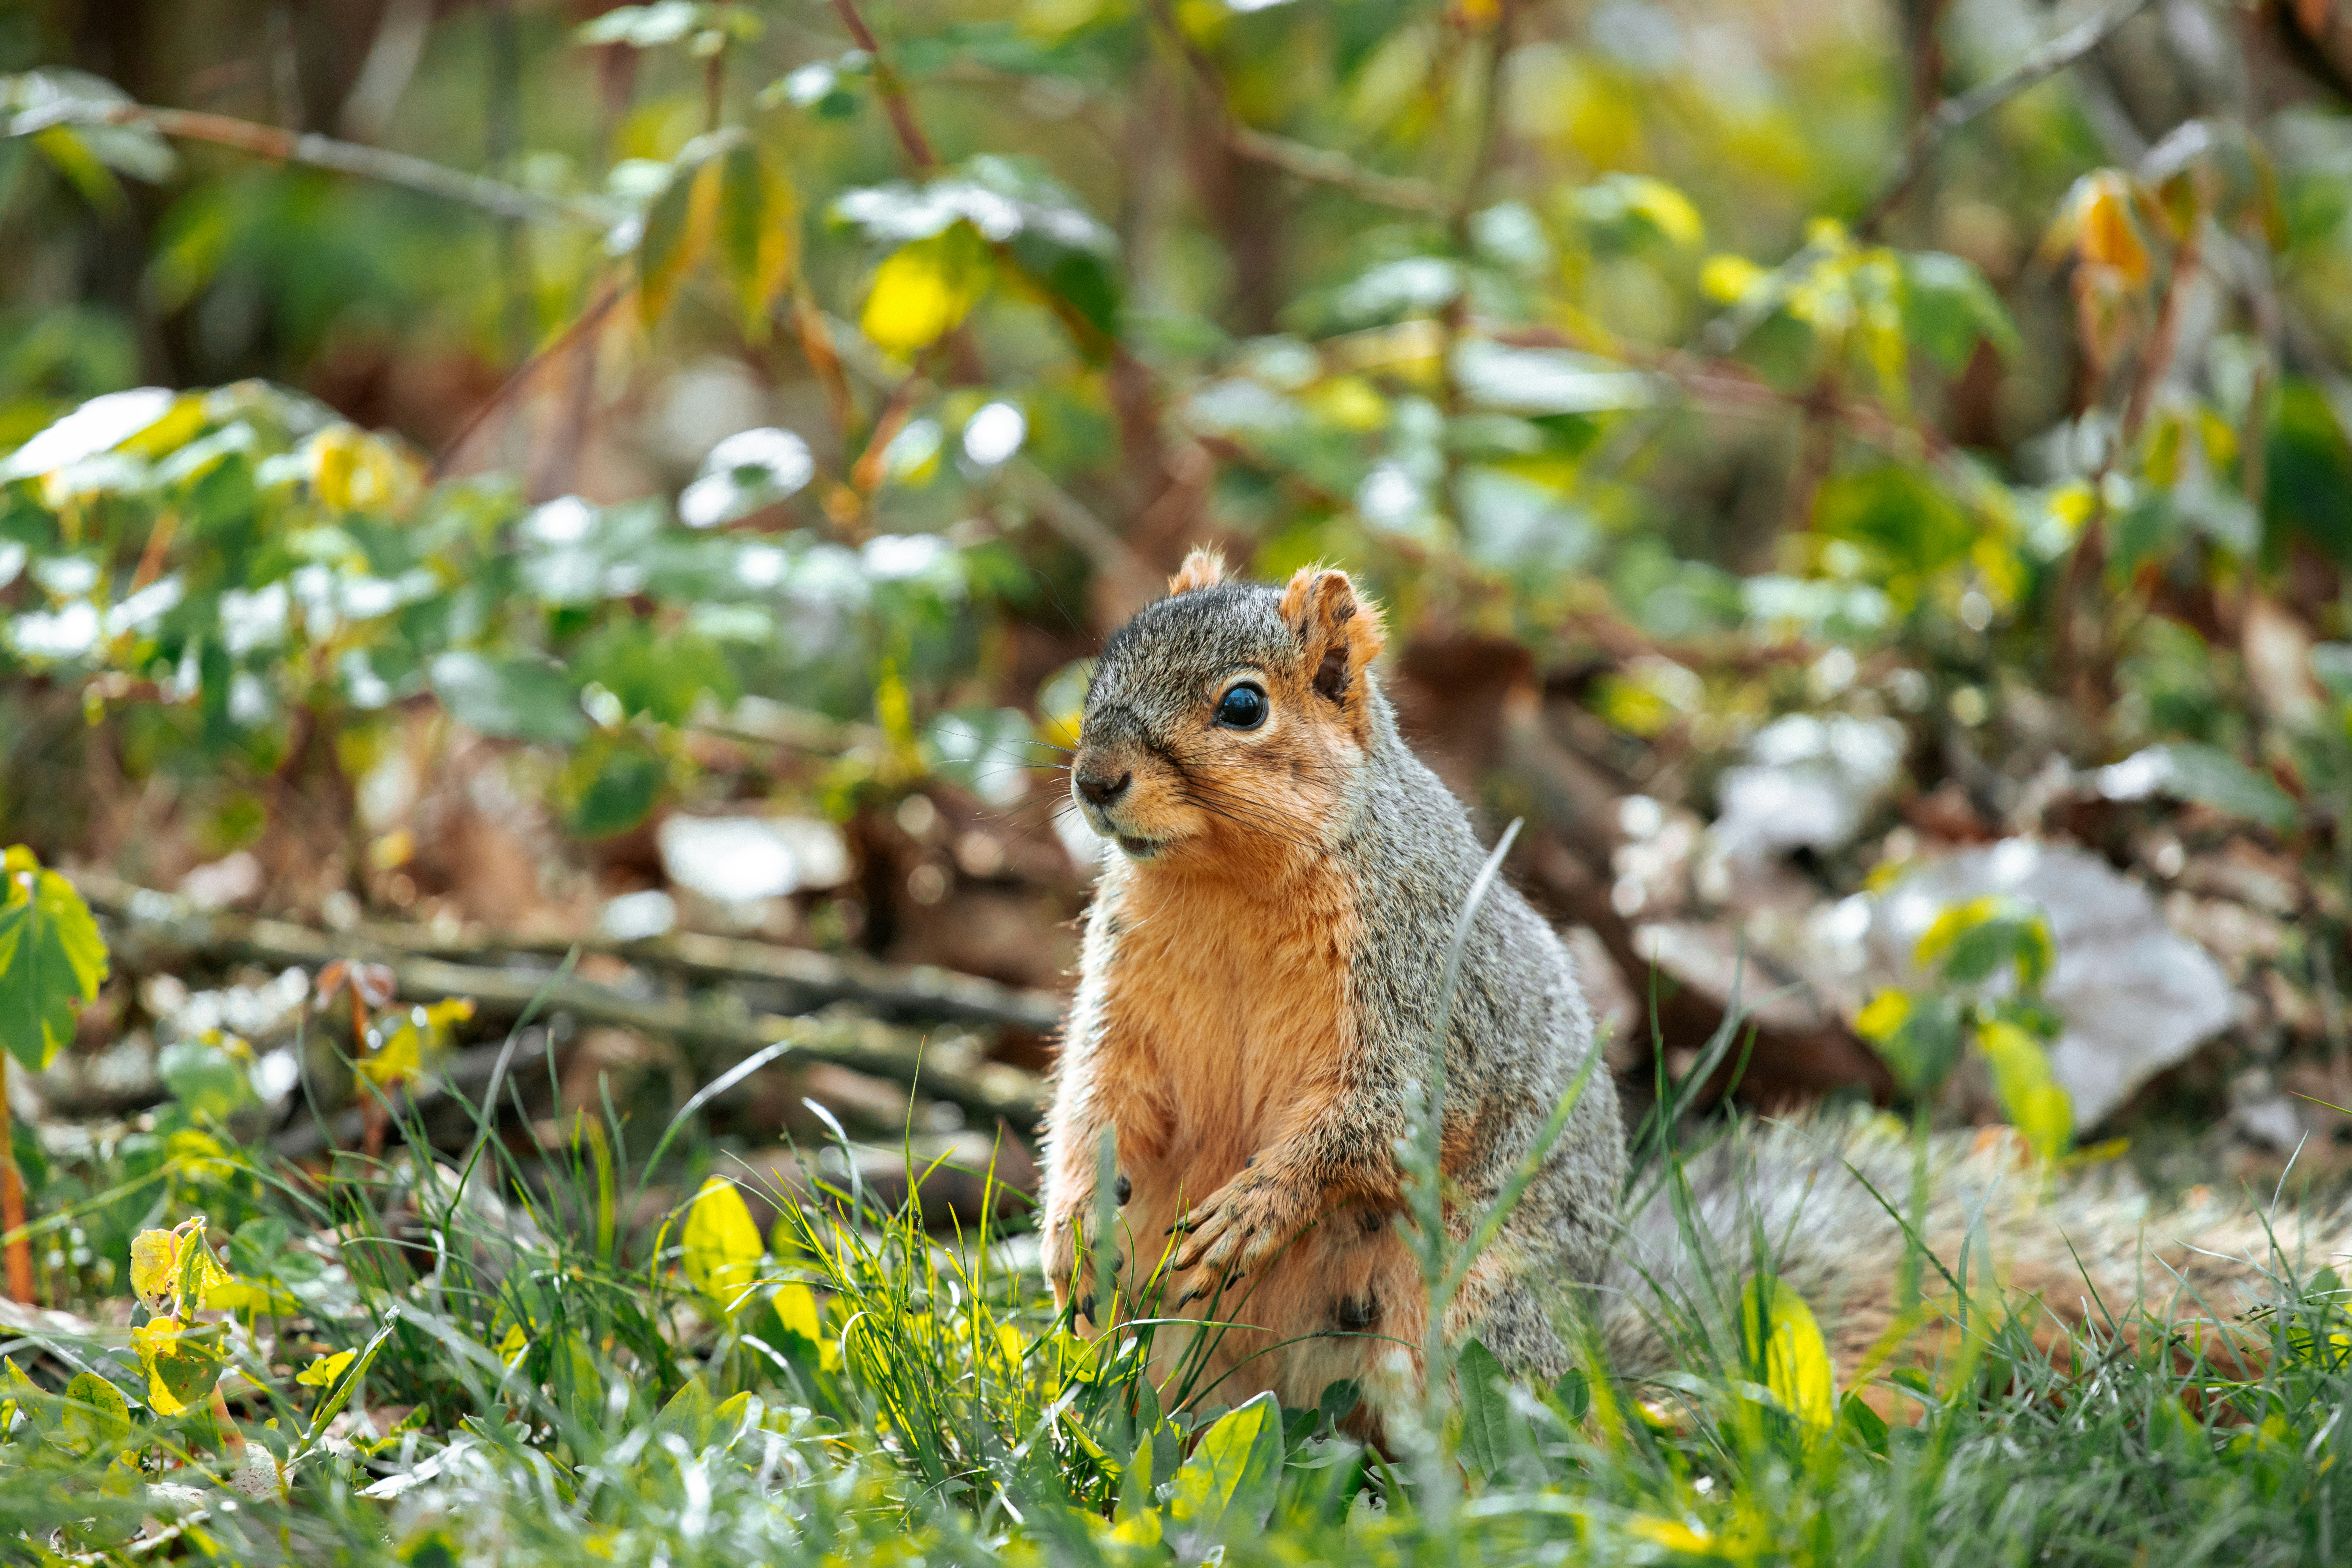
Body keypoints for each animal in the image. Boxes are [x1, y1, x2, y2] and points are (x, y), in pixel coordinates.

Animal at [1040, 550, 2341, 1437]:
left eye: (1243, 705)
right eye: (1103, 662)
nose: (1094, 778)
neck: (1224, 884)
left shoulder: (1418, 994)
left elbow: (1370, 1119)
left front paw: (1260, 1202)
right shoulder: (1125, 999)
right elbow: (1097, 1106)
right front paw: (1071, 1230)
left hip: (1462, 1313)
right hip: (1178, 1347)